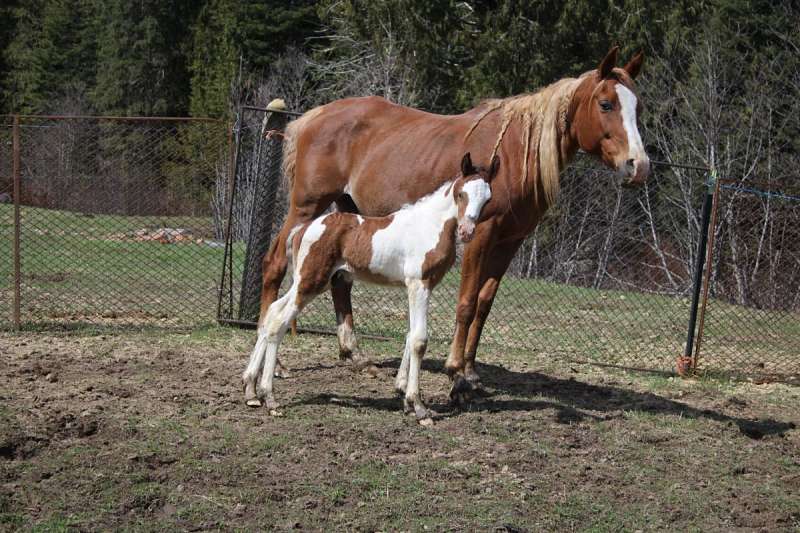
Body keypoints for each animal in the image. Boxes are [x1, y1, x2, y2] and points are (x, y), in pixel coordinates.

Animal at [242, 153, 498, 423]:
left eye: (487, 198)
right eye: (461, 194)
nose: (467, 231)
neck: (429, 226)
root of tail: (303, 229)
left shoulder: (419, 287)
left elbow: (409, 335)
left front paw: (405, 397)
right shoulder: (418, 284)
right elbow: (419, 340)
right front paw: (419, 407)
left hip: (305, 281)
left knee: (271, 313)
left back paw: (250, 388)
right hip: (311, 282)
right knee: (278, 322)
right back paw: (269, 398)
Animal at [259, 47, 649, 403]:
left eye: (637, 107)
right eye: (606, 104)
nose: (638, 165)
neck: (514, 152)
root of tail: (313, 116)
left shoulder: (509, 241)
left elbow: (484, 303)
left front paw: (472, 373)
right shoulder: (480, 234)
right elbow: (466, 302)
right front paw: (455, 373)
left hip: (347, 212)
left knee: (341, 281)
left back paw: (353, 354)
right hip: (306, 207)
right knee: (276, 264)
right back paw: (273, 361)